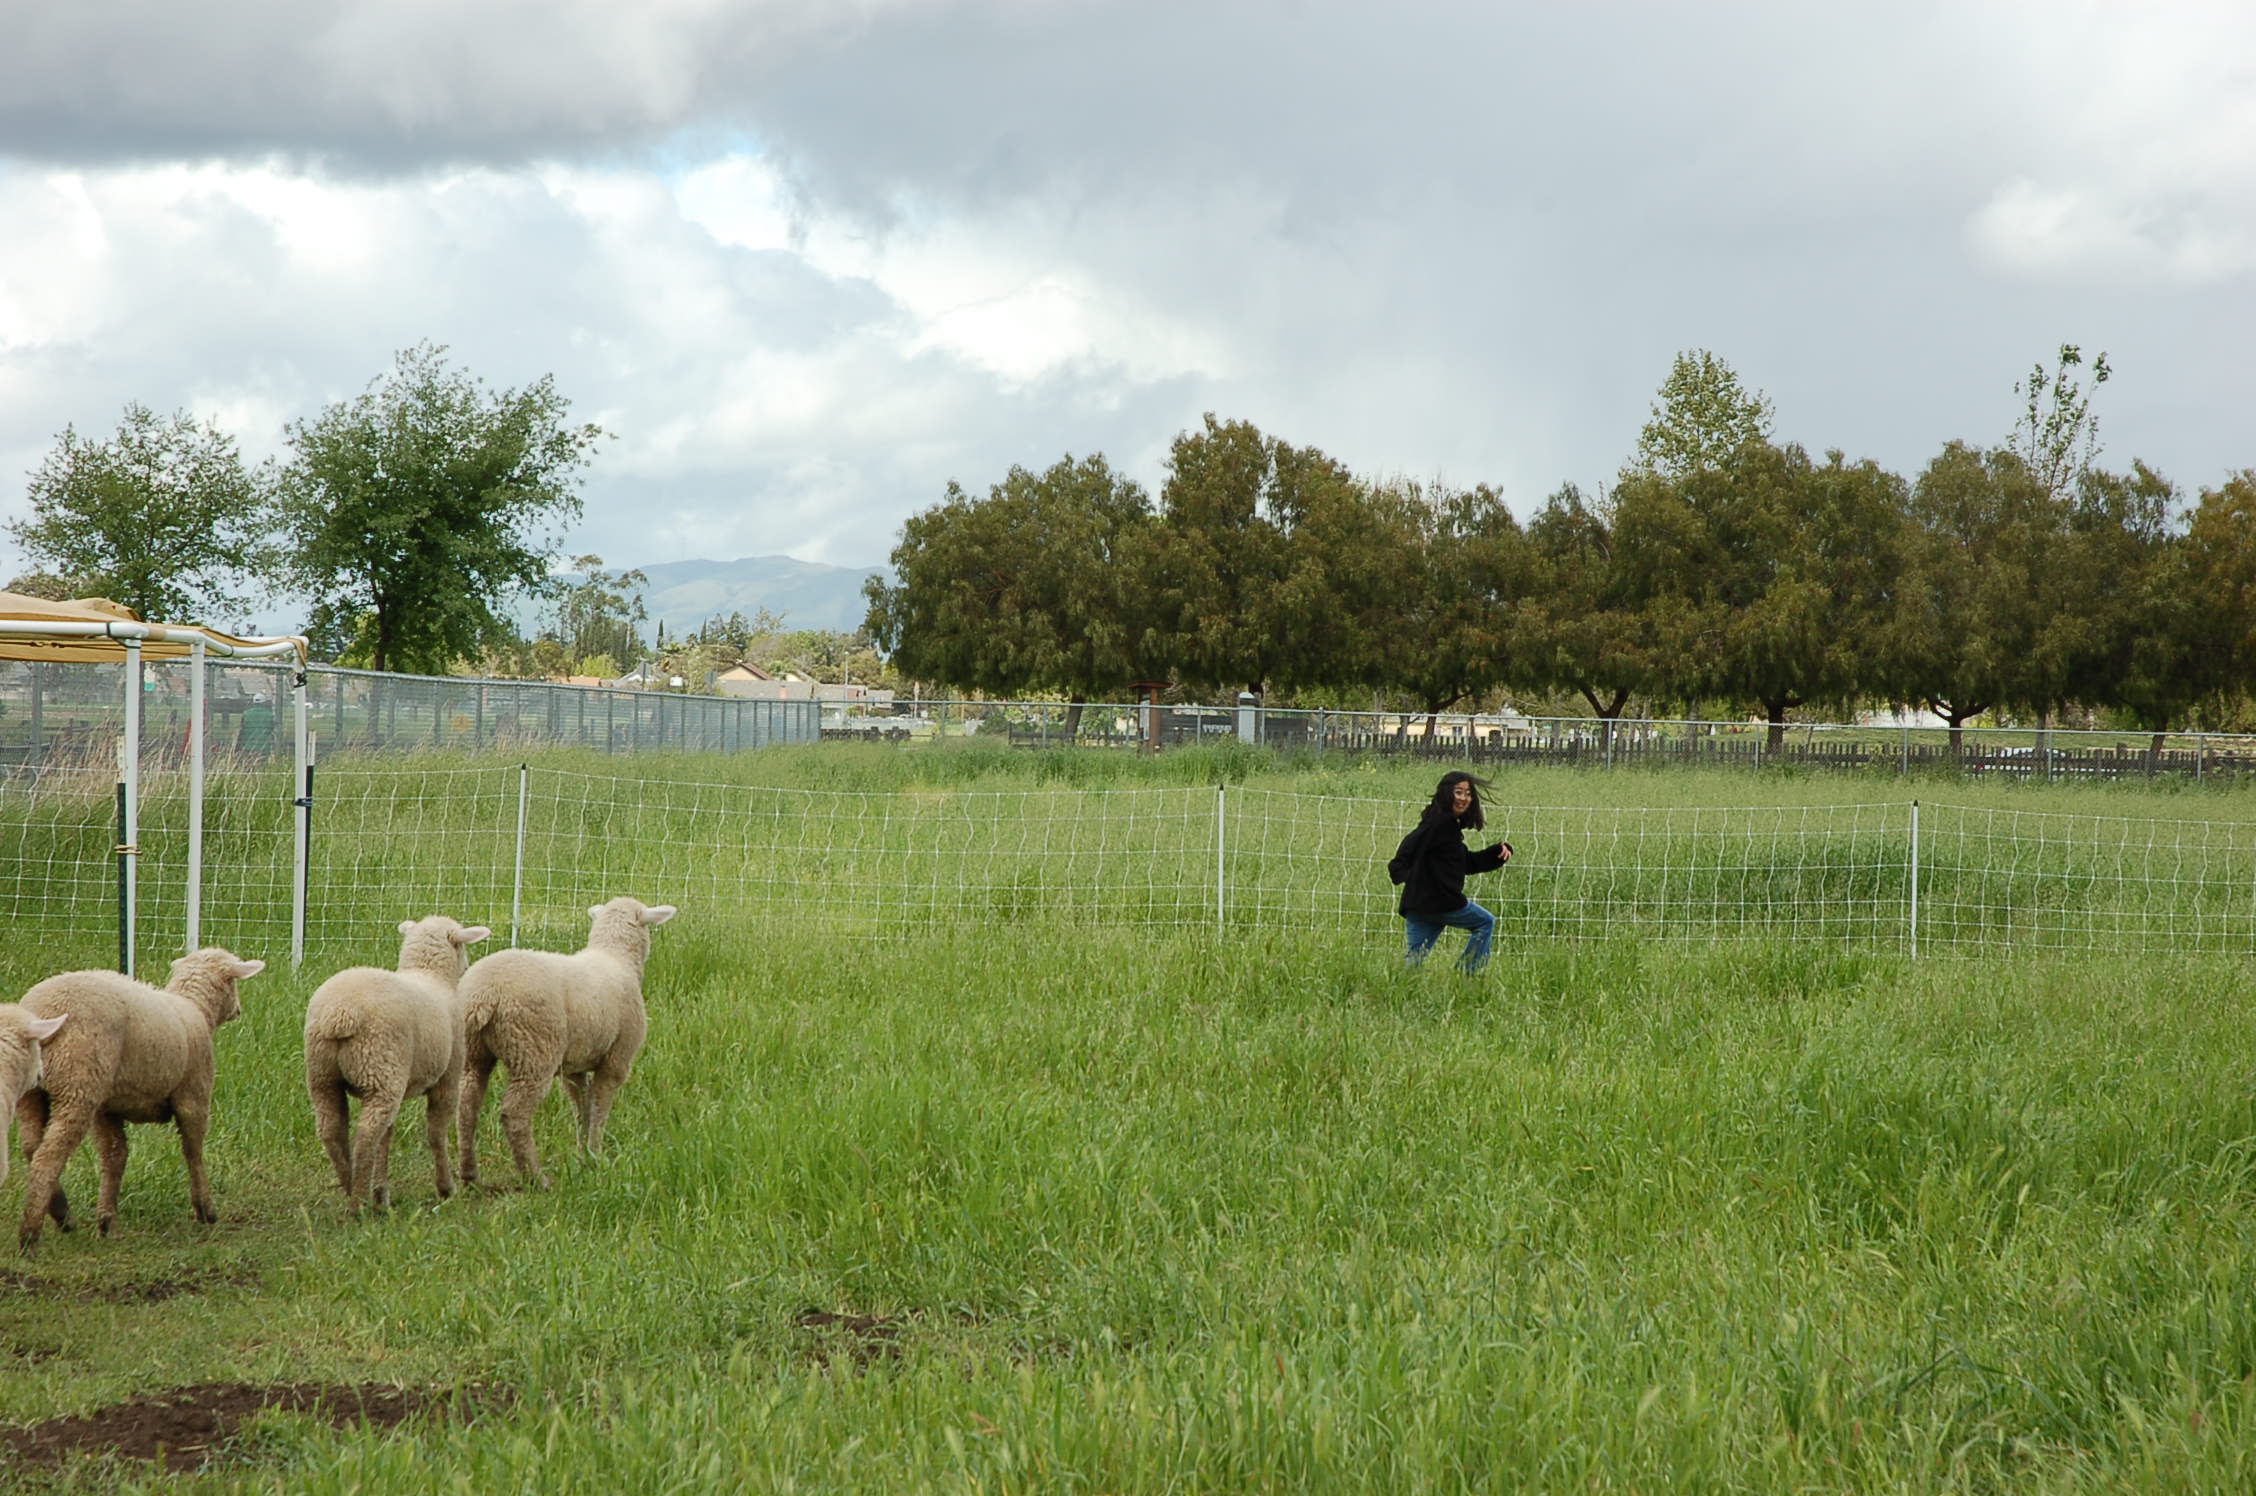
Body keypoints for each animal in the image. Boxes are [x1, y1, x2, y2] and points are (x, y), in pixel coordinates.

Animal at [14, 948, 264, 1253]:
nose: (238, 1010)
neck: (195, 1008)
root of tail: (44, 1011)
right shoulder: (194, 1095)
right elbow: (193, 1151)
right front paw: (205, 1210)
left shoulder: (107, 1108)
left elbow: (115, 1155)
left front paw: (107, 1221)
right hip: (78, 1085)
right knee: (49, 1155)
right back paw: (31, 1233)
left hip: (34, 1092)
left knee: (30, 1145)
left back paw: (62, 1213)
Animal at [303, 915, 492, 1212]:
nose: (467, 966)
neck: (429, 974)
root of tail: (340, 1013)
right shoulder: (448, 1077)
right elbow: (436, 1133)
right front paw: (445, 1188)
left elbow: (388, 1135)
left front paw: (382, 1191)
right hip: (379, 1071)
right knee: (367, 1135)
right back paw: (359, 1202)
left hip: (325, 1075)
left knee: (331, 1130)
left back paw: (350, 1185)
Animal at [458, 896, 678, 1191]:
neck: (616, 958)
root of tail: (484, 994)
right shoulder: (616, 1061)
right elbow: (599, 1108)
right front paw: (595, 1156)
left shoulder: (574, 1066)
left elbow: (581, 1108)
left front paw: (582, 1154)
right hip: (534, 1049)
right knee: (514, 1113)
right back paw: (536, 1178)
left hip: (473, 1051)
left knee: (466, 1105)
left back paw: (470, 1175)